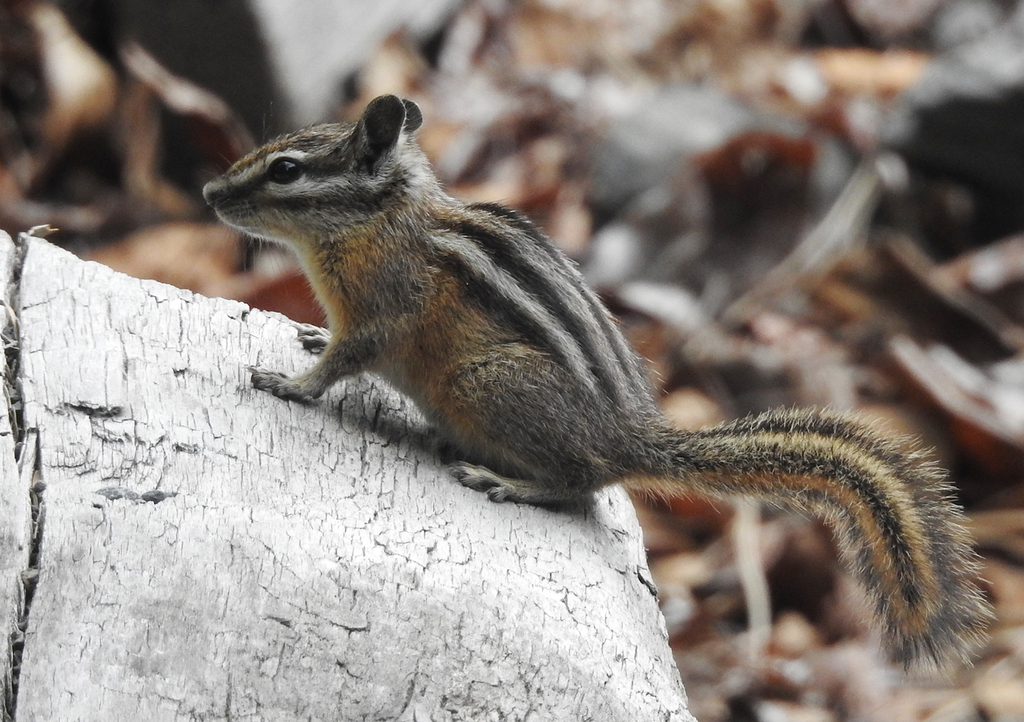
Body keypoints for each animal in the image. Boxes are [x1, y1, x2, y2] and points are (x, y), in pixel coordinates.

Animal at [203, 94, 991, 669]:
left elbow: (347, 359)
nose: (210, 190)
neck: (376, 221)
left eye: (286, 170)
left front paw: (292, 383)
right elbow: (337, 348)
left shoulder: (384, 309)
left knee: (581, 484)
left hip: (488, 383)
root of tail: (629, 438)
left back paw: (508, 482)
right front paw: (308, 338)